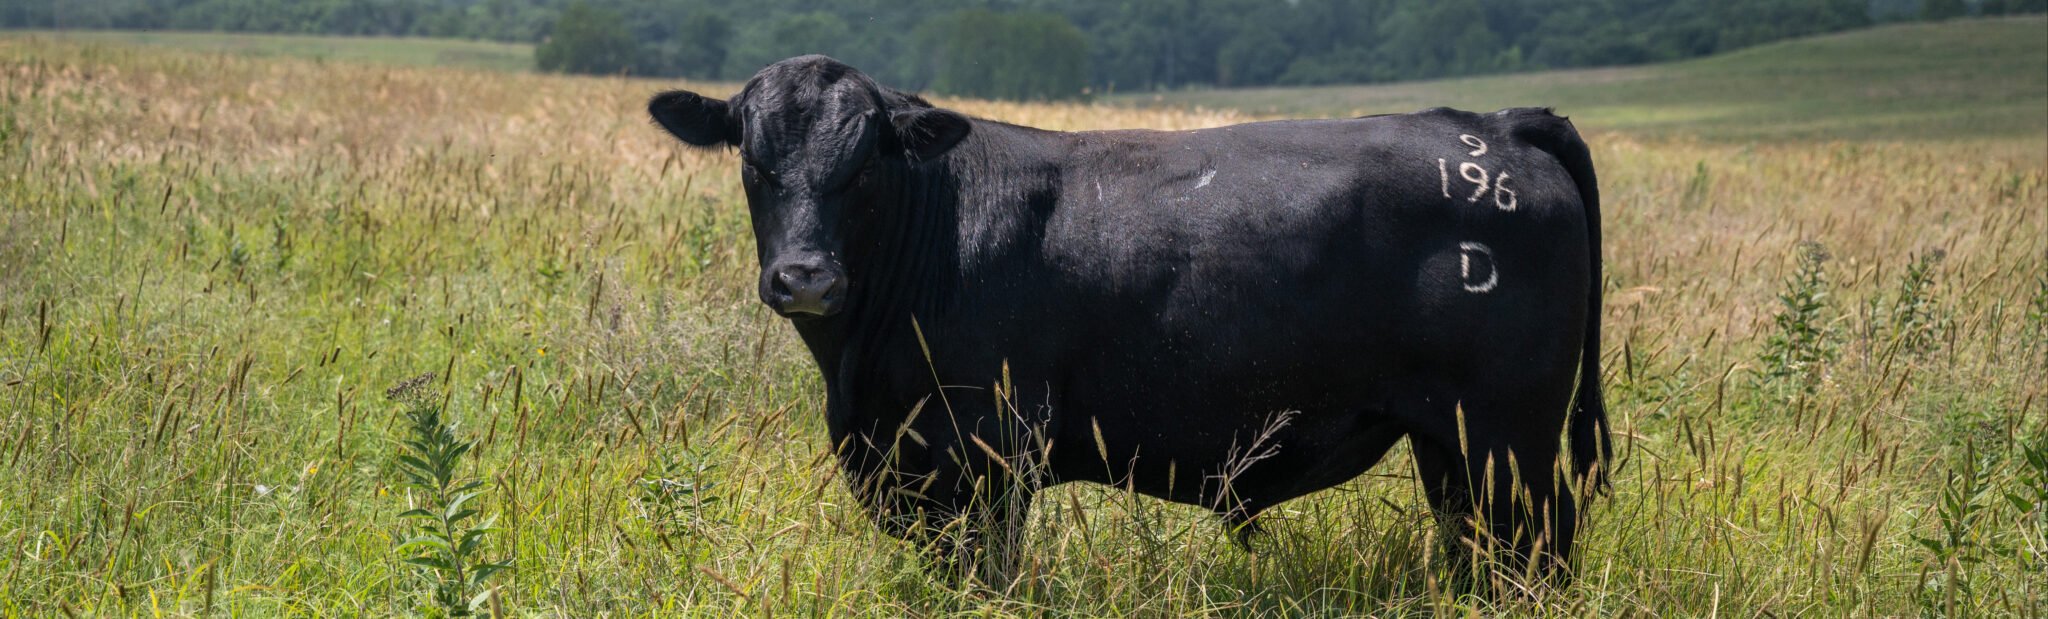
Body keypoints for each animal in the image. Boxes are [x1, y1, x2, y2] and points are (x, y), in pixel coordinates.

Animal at [647, 55, 1609, 580]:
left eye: (865, 165)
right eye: (755, 162)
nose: (804, 276)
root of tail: (1493, 125)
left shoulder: (986, 458)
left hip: (1508, 433)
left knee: (1539, 547)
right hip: (1451, 443)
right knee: (1477, 547)